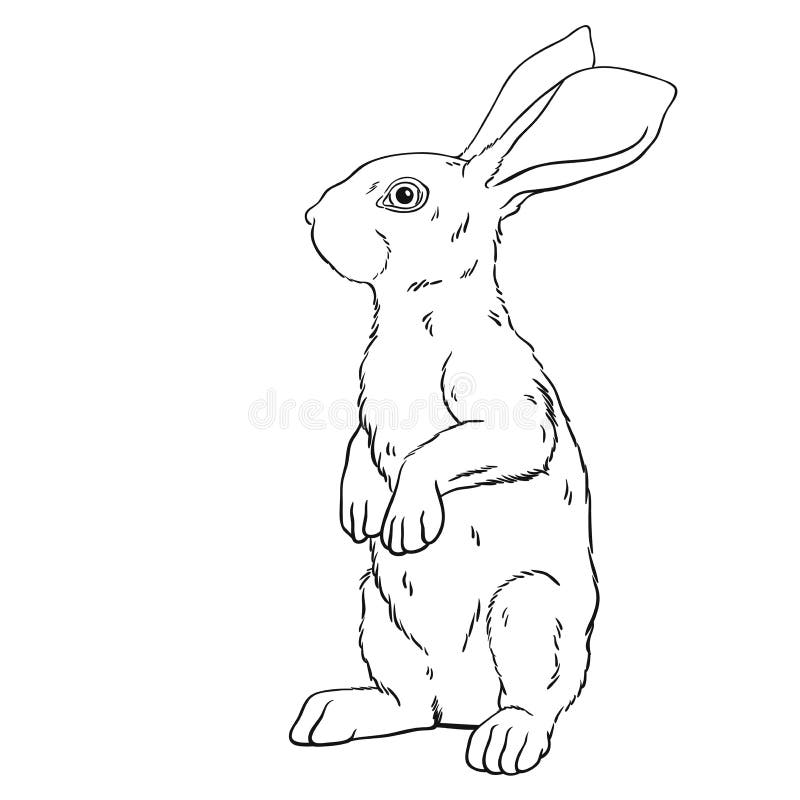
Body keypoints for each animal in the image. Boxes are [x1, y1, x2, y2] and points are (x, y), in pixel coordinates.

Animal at [289, 26, 676, 774]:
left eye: (404, 195)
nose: (312, 216)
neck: (419, 312)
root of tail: (461, 707)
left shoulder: (504, 407)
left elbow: (457, 448)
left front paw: (404, 524)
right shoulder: (366, 415)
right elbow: (358, 445)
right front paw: (358, 513)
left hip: (526, 609)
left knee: (535, 700)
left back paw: (504, 744)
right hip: (380, 618)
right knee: (411, 707)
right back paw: (332, 716)